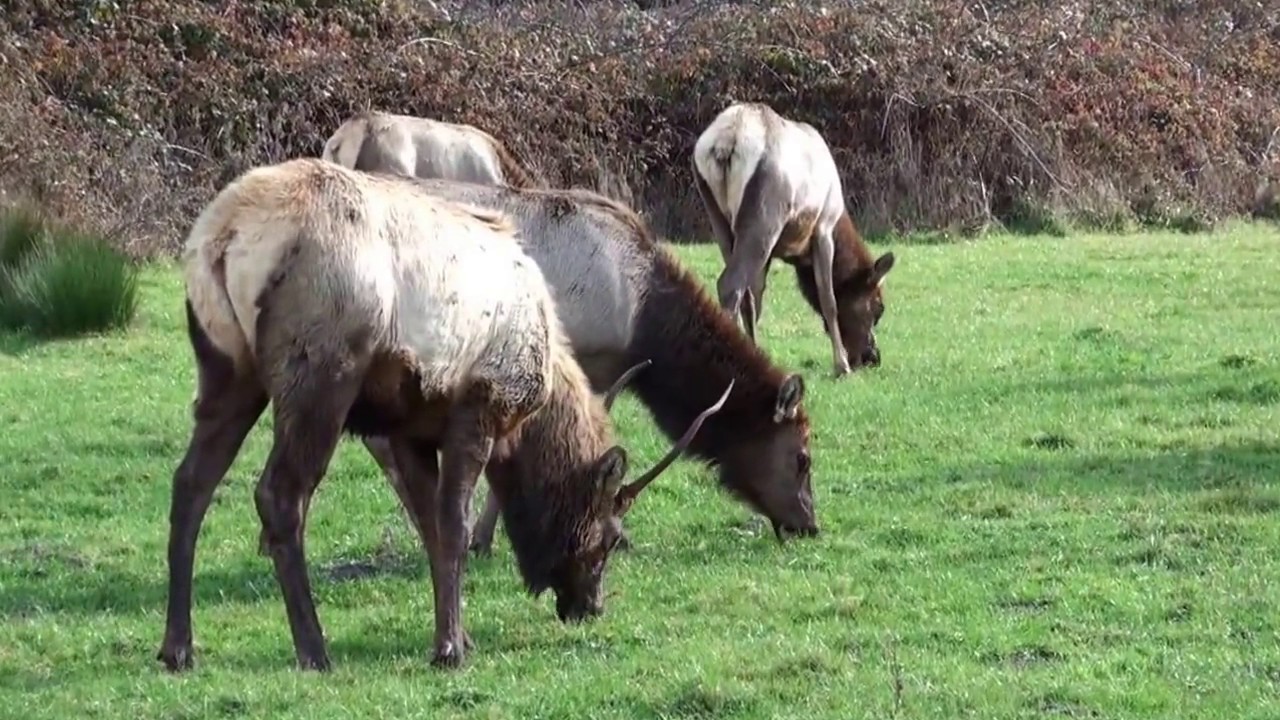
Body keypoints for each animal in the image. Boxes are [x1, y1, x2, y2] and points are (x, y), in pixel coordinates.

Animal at [158, 157, 732, 673]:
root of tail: (224, 236)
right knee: (279, 496)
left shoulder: (407, 427)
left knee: (191, 482)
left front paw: (458, 634)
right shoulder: (476, 410)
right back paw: (313, 649)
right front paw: (450, 649)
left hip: (226, 368)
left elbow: (429, 525)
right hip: (320, 376)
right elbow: (454, 526)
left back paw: (177, 647)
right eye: (609, 536)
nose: (590, 606)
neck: (536, 406)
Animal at [692, 101, 897, 378]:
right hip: (765, 213)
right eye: (878, 307)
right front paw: (841, 365)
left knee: (741, 289)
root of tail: (726, 141)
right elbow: (828, 299)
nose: (872, 358)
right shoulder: (823, 228)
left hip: (718, 216)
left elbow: (756, 296)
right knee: (730, 284)